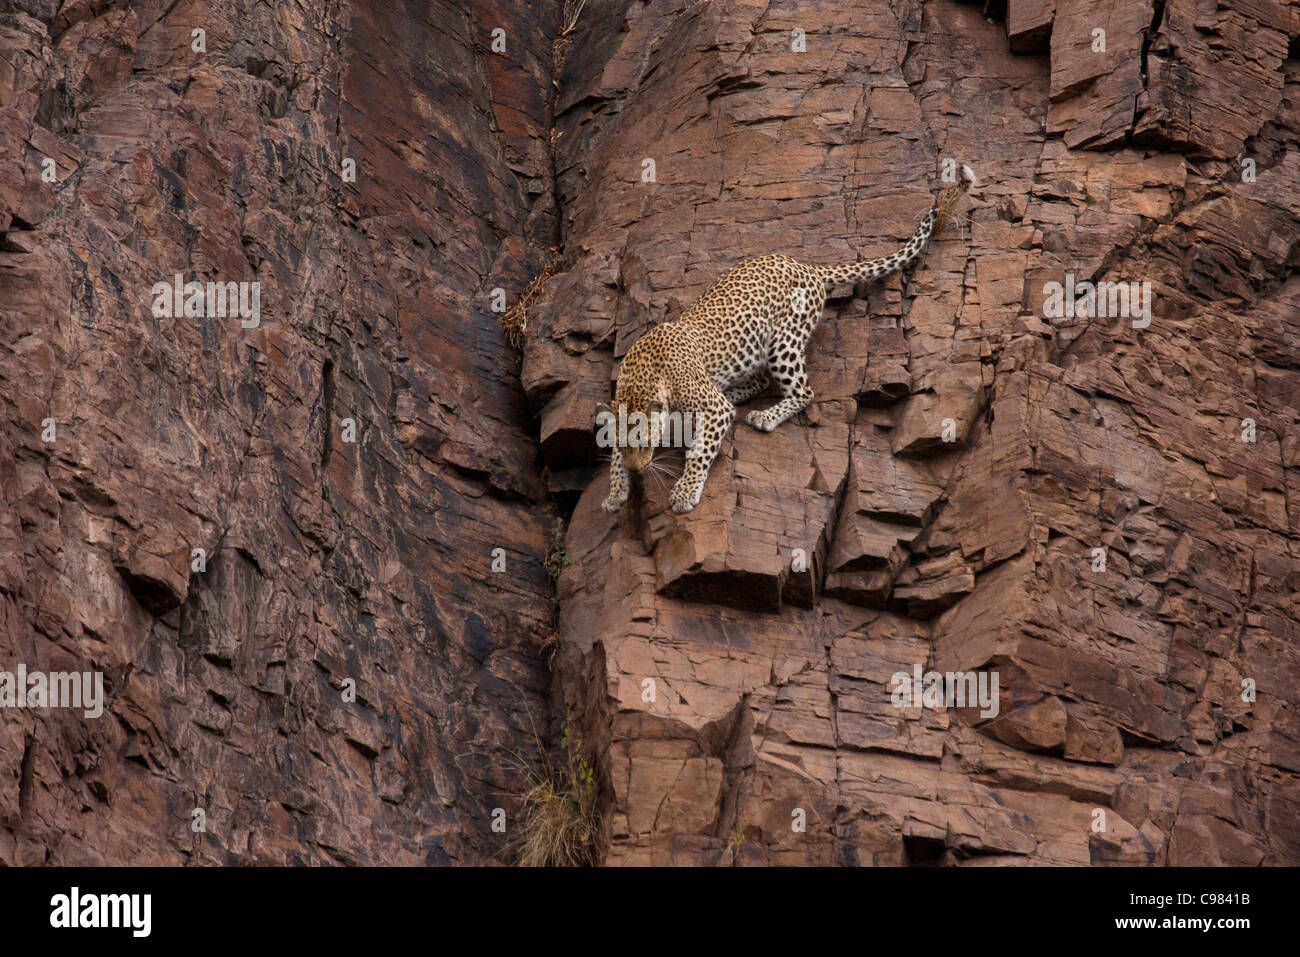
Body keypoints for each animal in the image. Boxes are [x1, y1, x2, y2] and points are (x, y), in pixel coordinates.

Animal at [596, 163, 975, 515]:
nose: (638, 471)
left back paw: (765, 416)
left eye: (644, 442)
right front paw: (615, 490)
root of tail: (807, 266)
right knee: (761, 381)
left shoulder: (712, 408)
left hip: (784, 343)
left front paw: (685, 490)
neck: (644, 377)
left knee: (802, 392)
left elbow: (703, 450)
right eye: (624, 445)